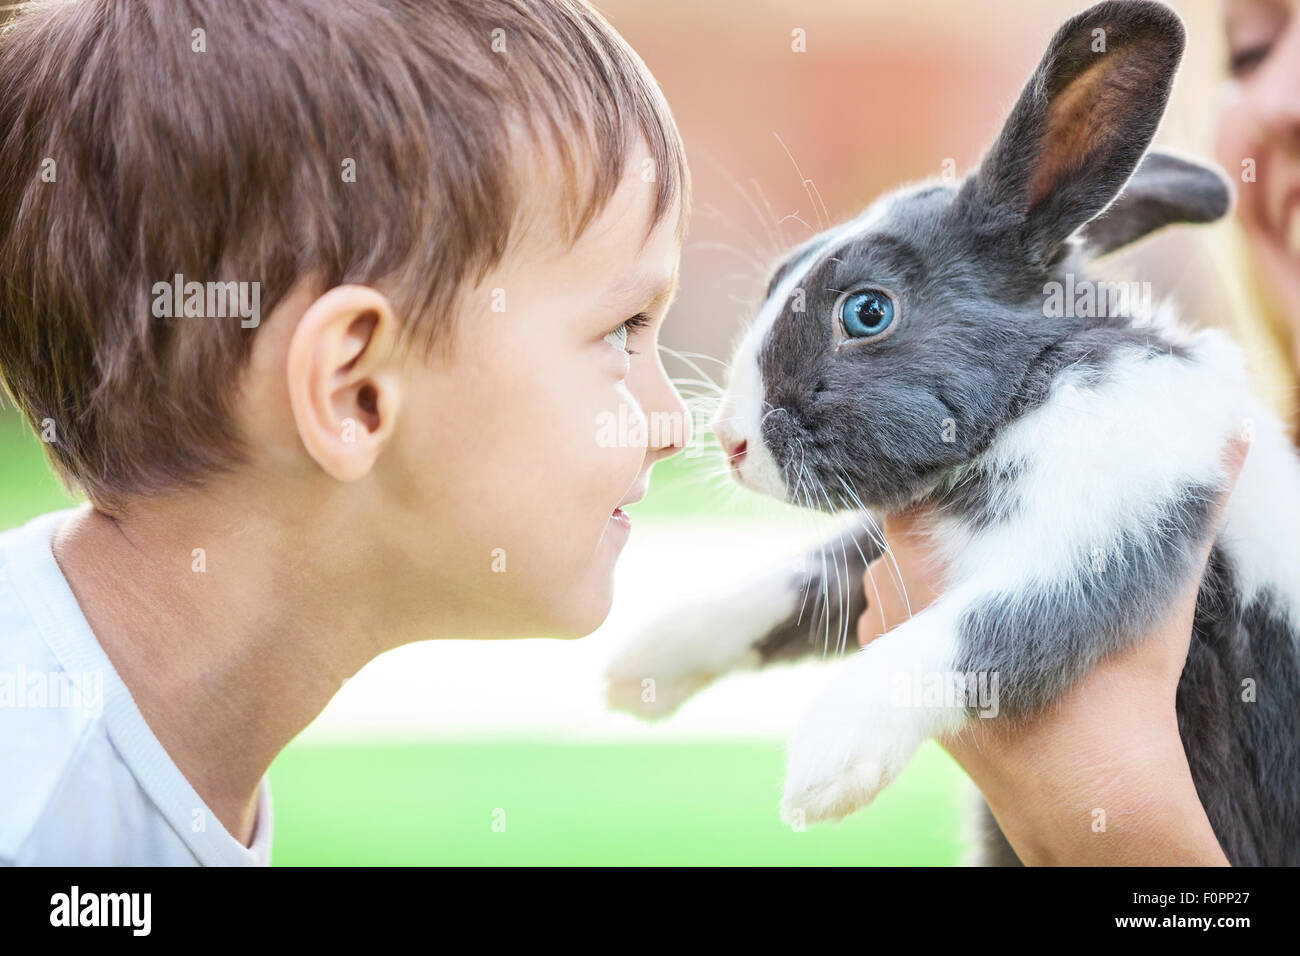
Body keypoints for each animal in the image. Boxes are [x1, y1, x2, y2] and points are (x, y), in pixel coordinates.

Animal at [605, 0, 1300, 866]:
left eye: (868, 311)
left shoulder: (1099, 540)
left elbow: (978, 630)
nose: (733, 444)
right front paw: (645, 664)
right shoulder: (885, 560)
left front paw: (826, 766)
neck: (1031, 391)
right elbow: (801, 577)